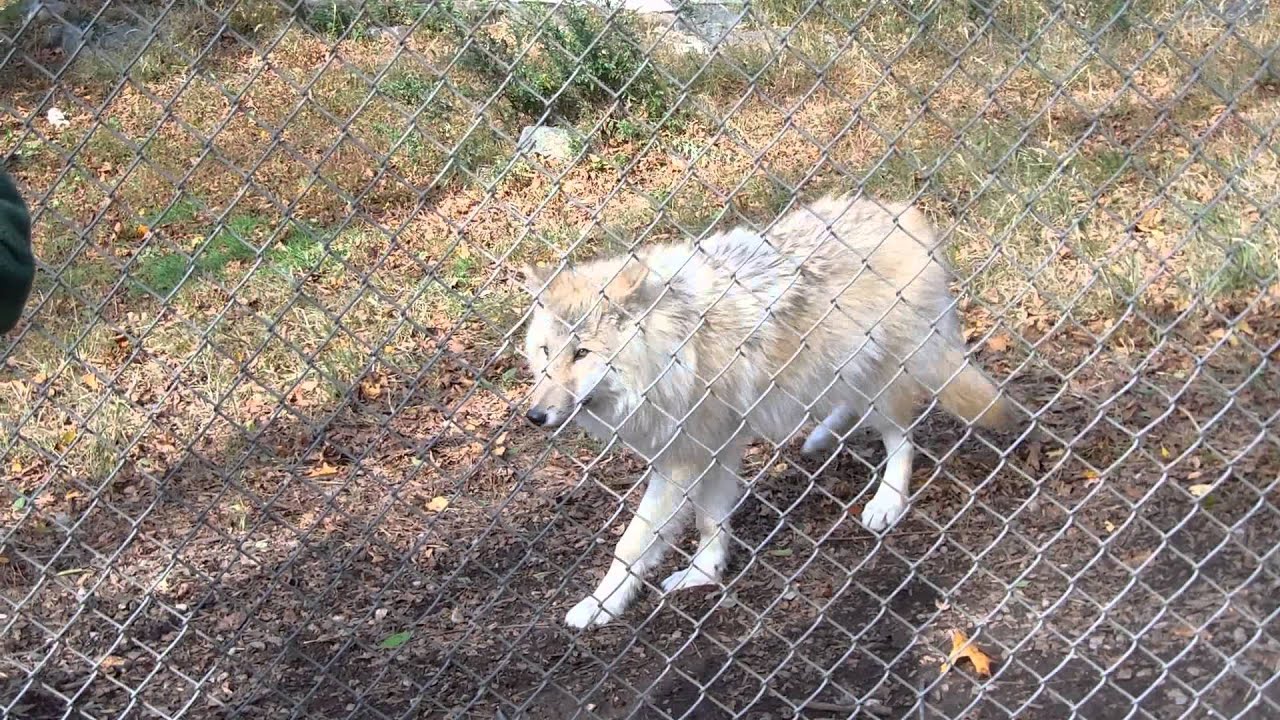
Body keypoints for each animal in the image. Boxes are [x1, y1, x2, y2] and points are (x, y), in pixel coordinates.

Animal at [519, 193, 1022, 629]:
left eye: (581, 354)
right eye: (545, 352)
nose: (535, 417)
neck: (676, 348)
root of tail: (907, 216)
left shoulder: (683, 458)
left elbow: (632, 544)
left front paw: (598, 606)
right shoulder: (715, 447)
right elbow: (709, 520)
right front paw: (704, 574)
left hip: (879, 377)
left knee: (902, 438)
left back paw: (886, 503)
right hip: (840, 371)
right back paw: (820, 438)